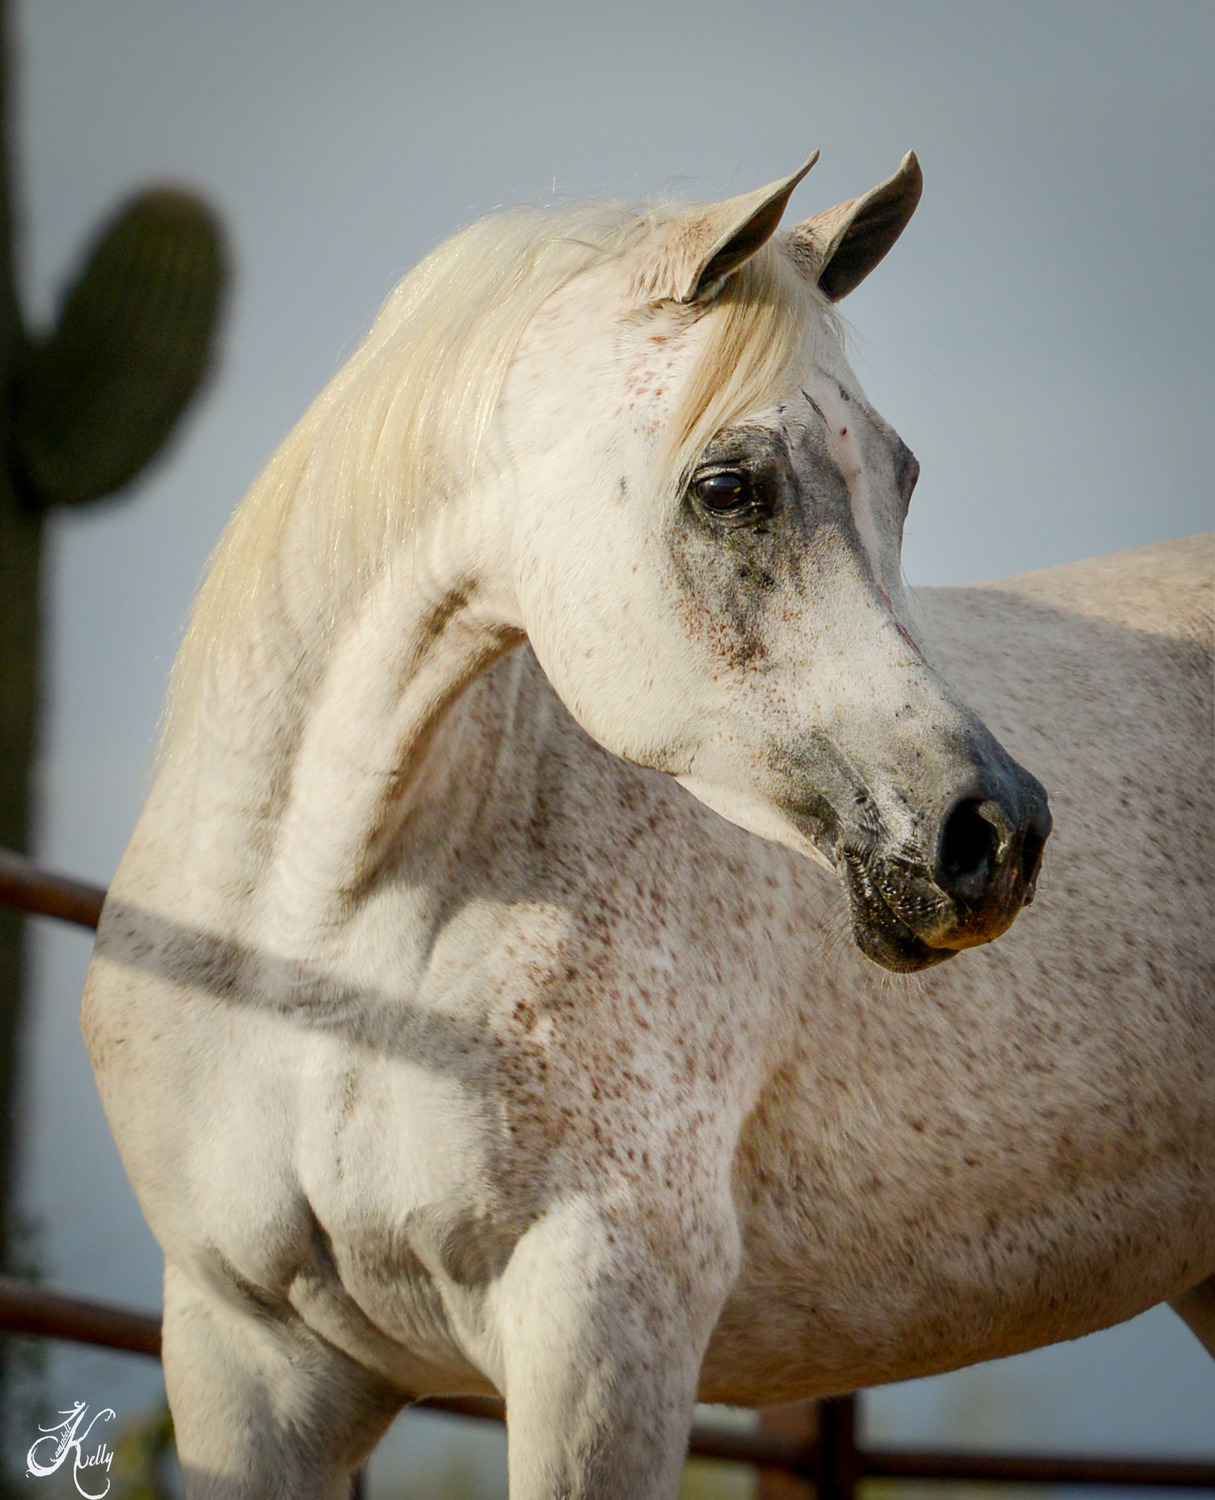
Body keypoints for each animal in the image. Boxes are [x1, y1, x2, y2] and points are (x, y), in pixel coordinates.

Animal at [80, 149, 1214, 1500]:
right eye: (729, 488)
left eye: (901, 476)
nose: (994, 836)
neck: (327, 940)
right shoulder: (242, 1358)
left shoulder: (601, 1328)